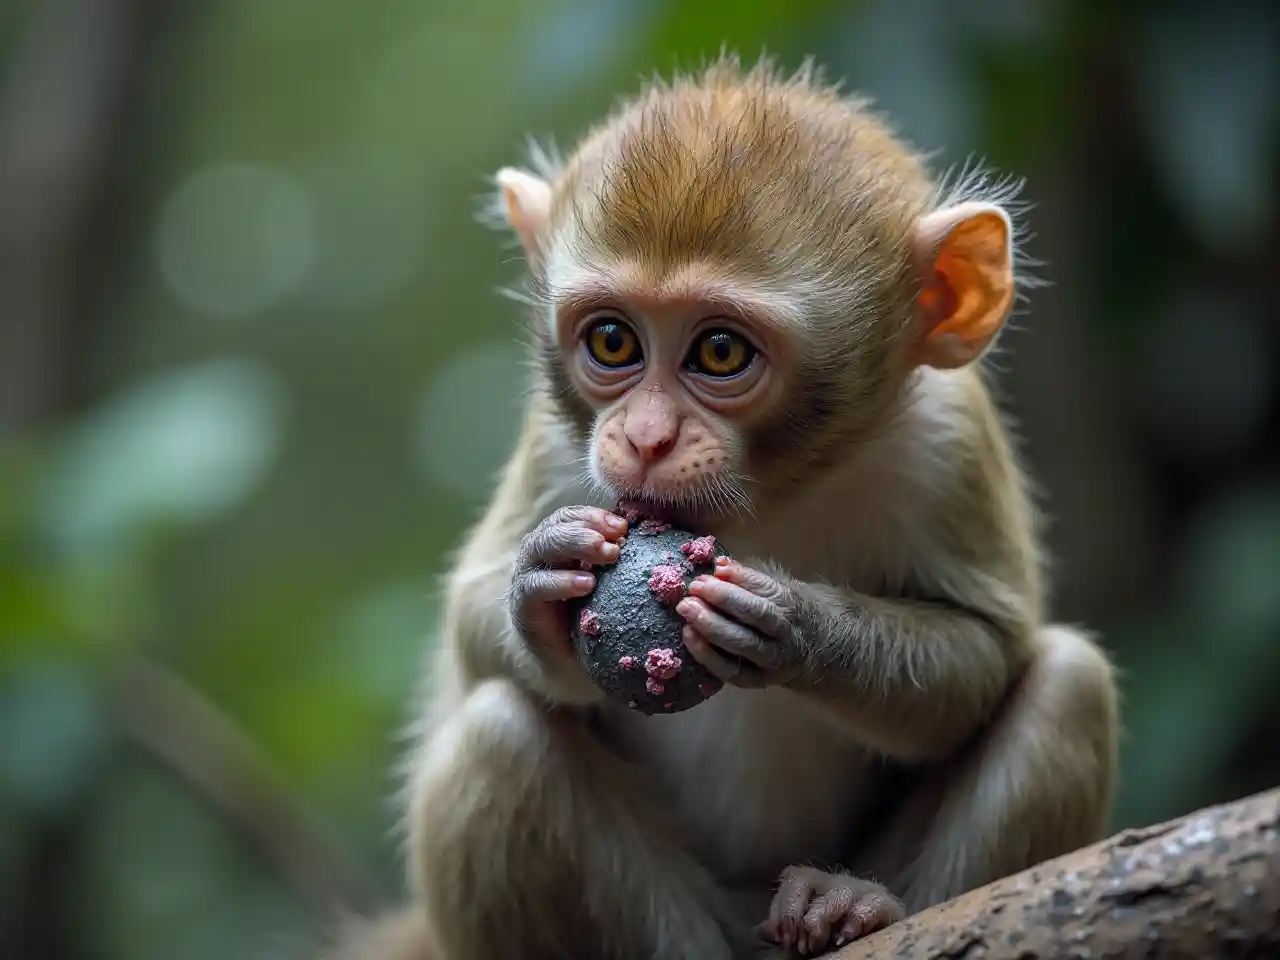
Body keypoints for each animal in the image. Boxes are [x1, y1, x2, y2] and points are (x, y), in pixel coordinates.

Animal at [319, 54, 1119, 960]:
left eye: (721, 352)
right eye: (613, 342)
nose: (644, 439)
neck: (772, 497)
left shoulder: (950, 442)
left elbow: (981, 659)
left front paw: (797, 626)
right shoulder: (559, 442)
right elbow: (469, 621)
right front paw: (543, 581)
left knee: (1068, 684)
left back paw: (855, 905)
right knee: (498, 737)